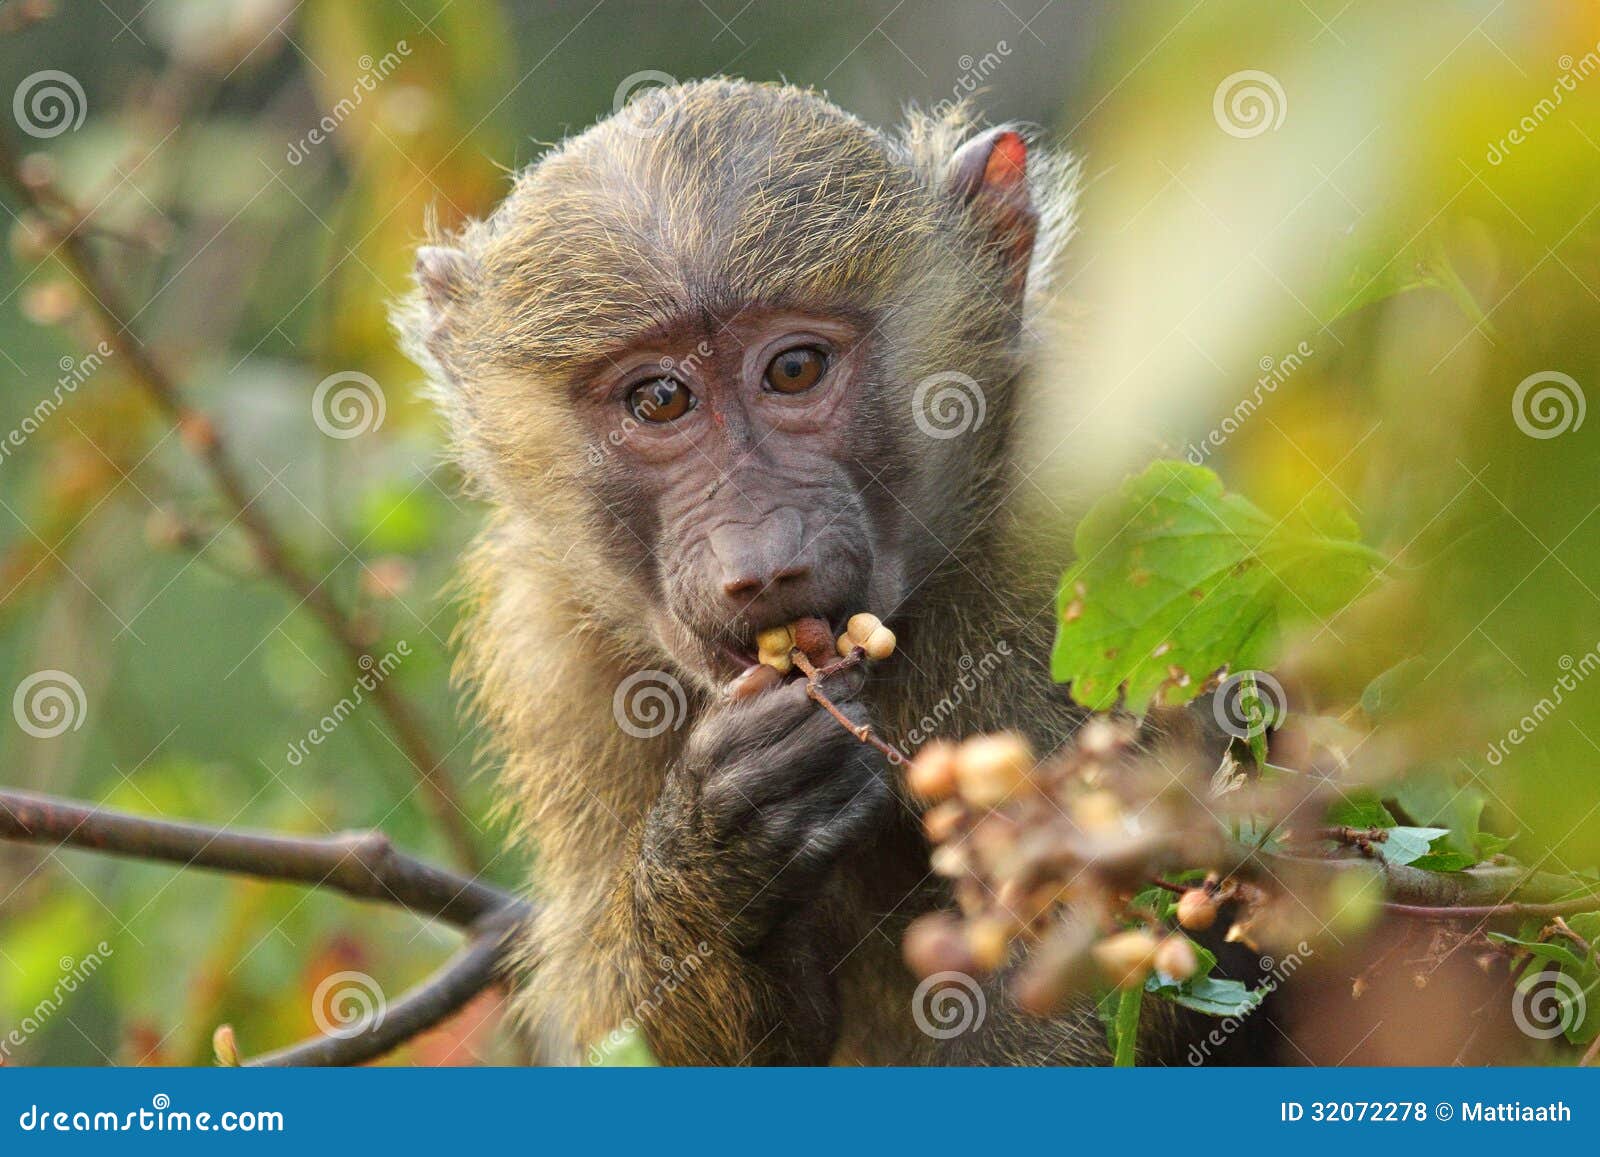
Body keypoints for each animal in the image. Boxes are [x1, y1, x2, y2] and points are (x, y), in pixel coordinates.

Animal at [397, 77, 1196, 1065]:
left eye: (795, 368)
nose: (761, 559)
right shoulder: (551, 643)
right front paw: (720, 848)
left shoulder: (1069, 534)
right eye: (658, 398)